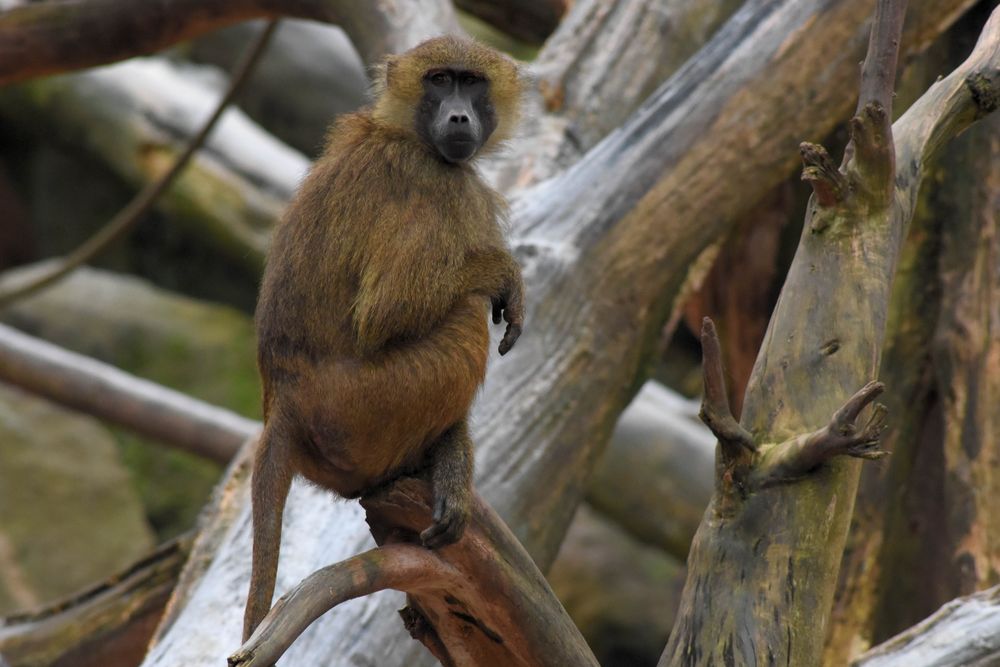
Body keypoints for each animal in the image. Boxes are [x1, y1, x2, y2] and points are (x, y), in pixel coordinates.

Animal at [242, 36, 526, 642]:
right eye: (440, 80)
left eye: (472, 83)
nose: (459, 117)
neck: (401, 132)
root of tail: (284, 402)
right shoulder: (438, 182)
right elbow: (385, 312)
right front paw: (505, 274)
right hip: (364, 409)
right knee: (465, 314)